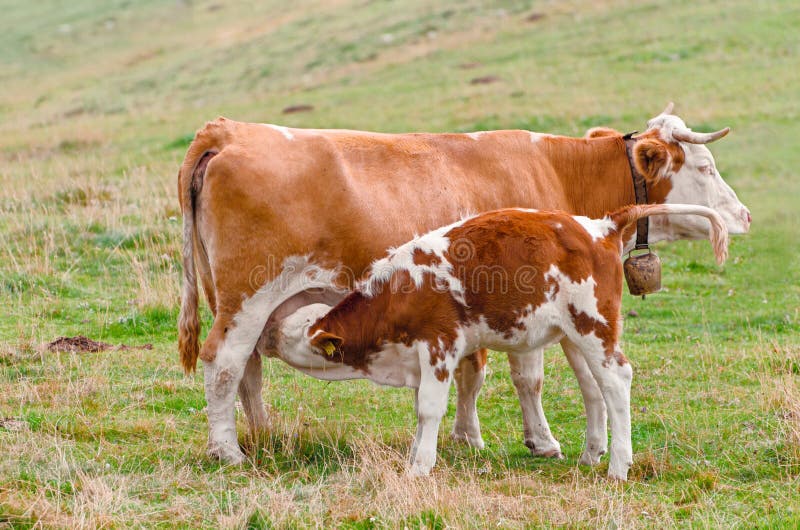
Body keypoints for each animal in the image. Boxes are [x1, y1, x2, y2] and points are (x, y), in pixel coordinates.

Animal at [273, 204, 729, 480]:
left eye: (294, 336)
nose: (267, 337)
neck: (401, 291)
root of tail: (598, 225)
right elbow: (421, 410)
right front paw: (417, 454)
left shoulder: (440, 344)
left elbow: (429, 408)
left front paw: (420, 467)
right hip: (575, 336)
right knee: (594, 388)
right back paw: (591, 453)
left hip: (593, 326)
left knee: (617, 379)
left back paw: (618, 466)